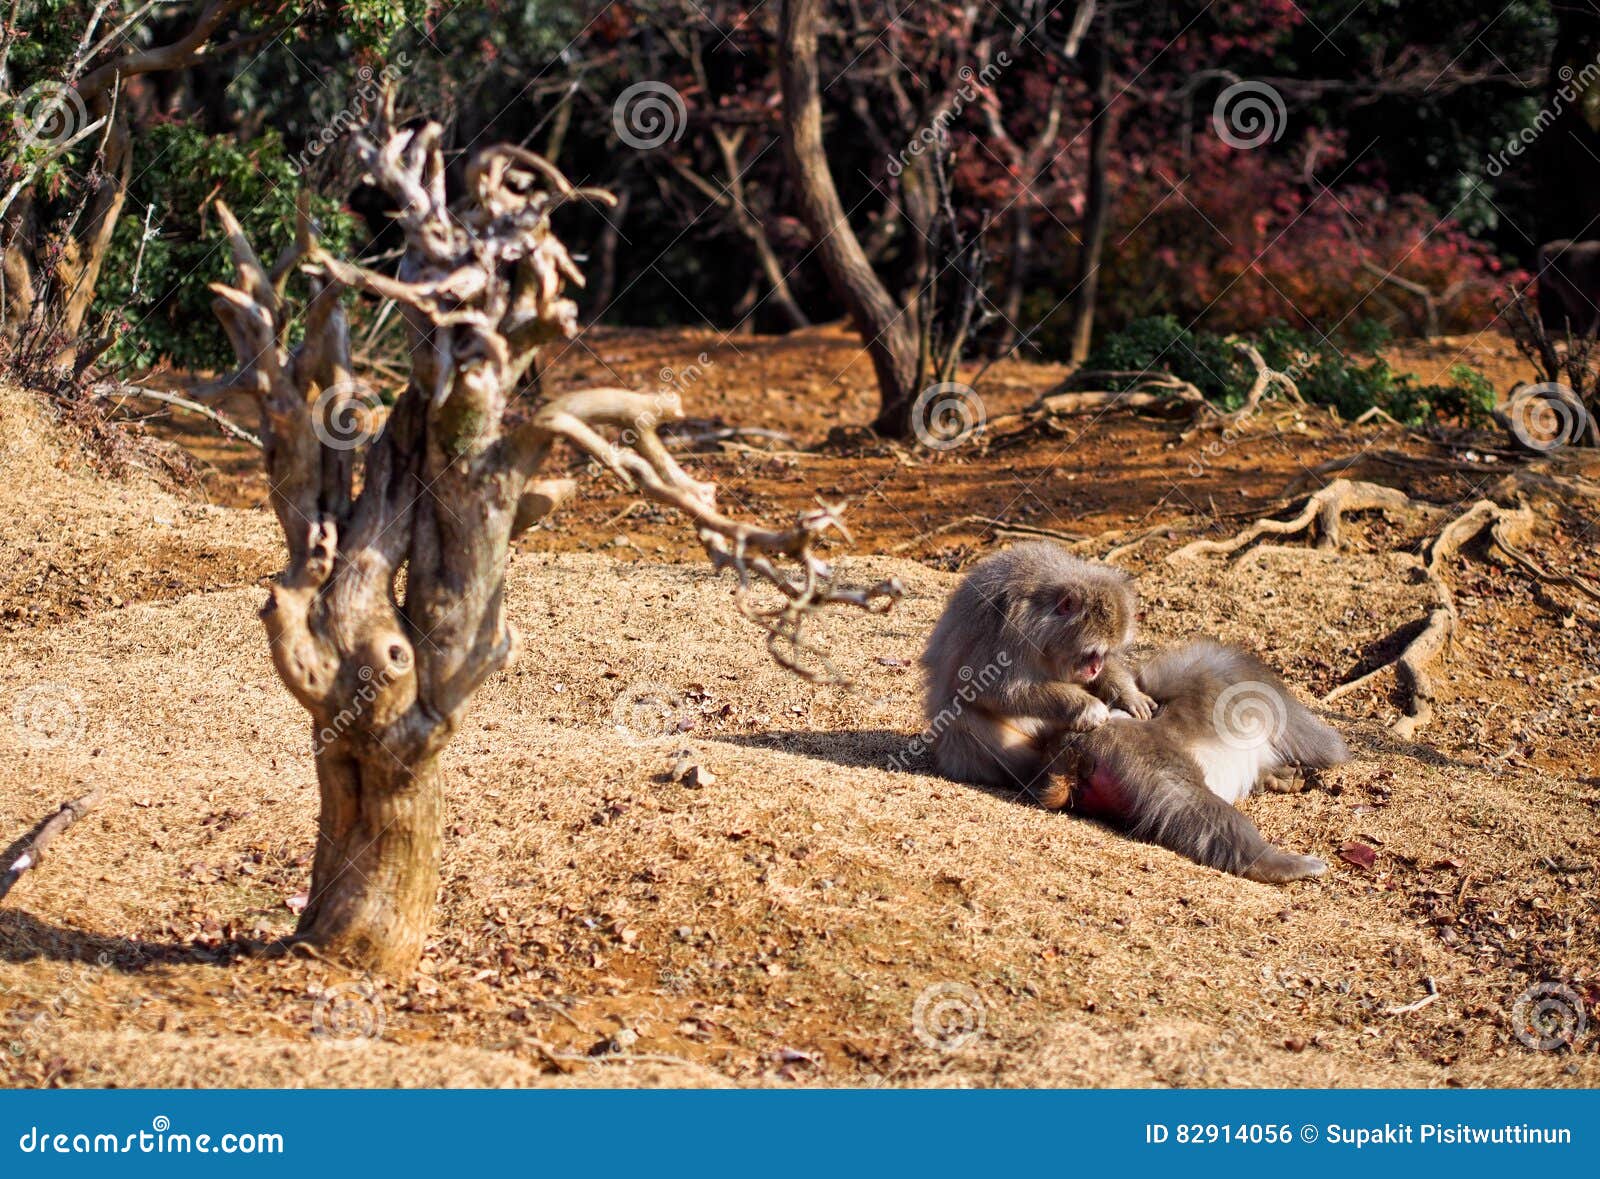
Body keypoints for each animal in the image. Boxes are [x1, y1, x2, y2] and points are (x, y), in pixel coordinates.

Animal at [919, 541, 1157, 791]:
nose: (1096, 668)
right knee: (962, 718)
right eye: (1091, 654)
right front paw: (1088, 707)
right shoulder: (1007, 635)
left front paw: (1129, 696)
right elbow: (992, 689)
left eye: (1104, 654)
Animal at [1036, 639, 1348, 883]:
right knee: (1206, 811)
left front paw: (1282, 776)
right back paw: (1278, 864)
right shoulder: (1245, 677)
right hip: (1150, 760)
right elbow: (1320, 743)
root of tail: (1074, 749)